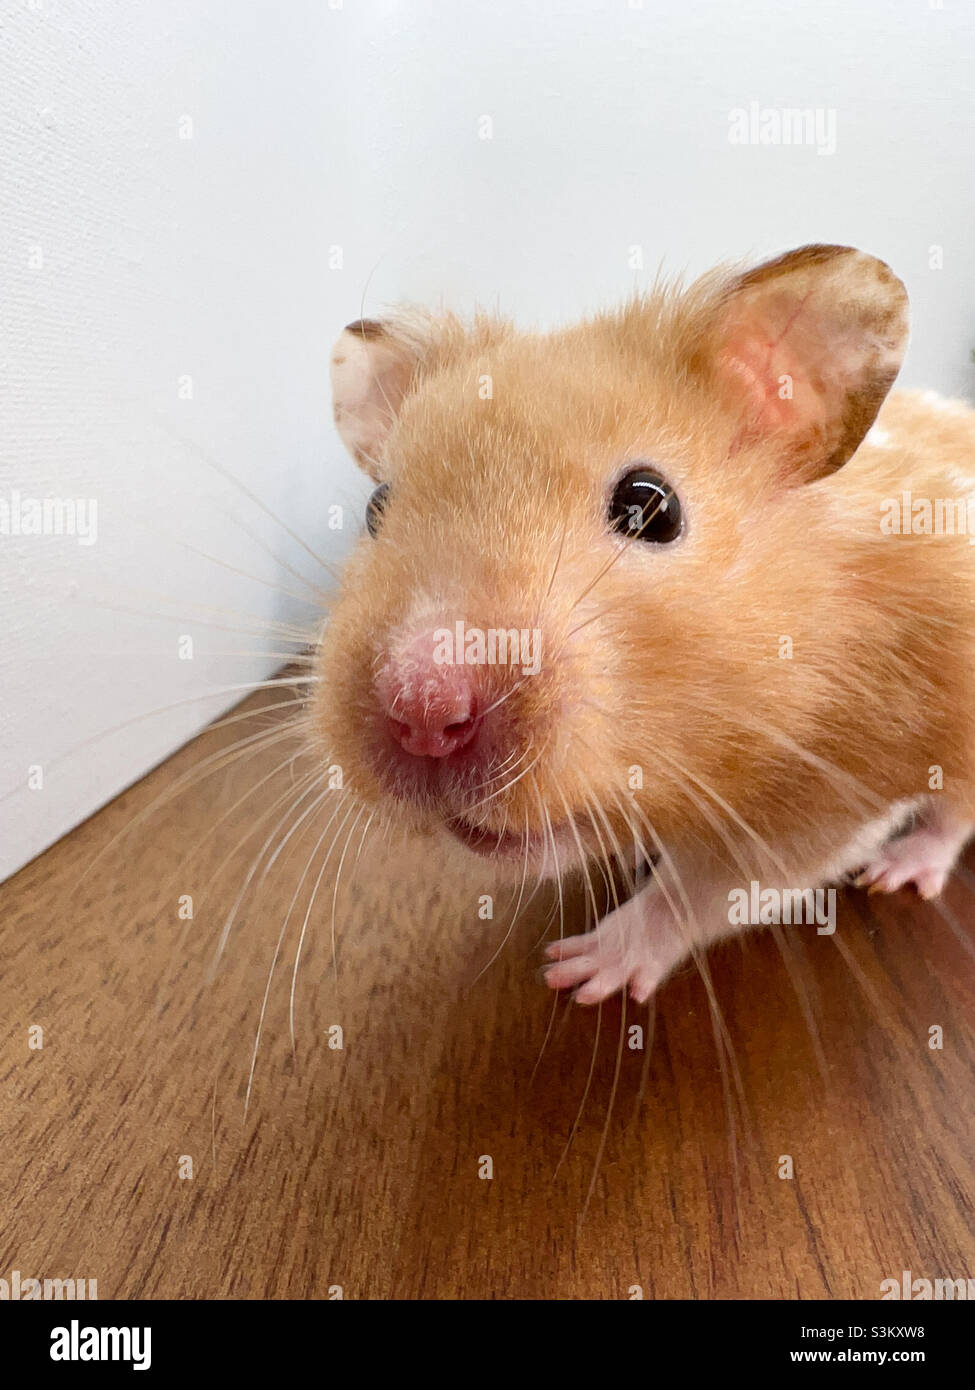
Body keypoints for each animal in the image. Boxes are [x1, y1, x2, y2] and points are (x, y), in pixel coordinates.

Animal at [315, 244, 975, 1005]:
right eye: (376, 506)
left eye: (650, 508)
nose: (421, 713)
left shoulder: (837, 786)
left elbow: (708, 890)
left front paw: (577, 973)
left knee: (957, 814)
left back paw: (902, 869)